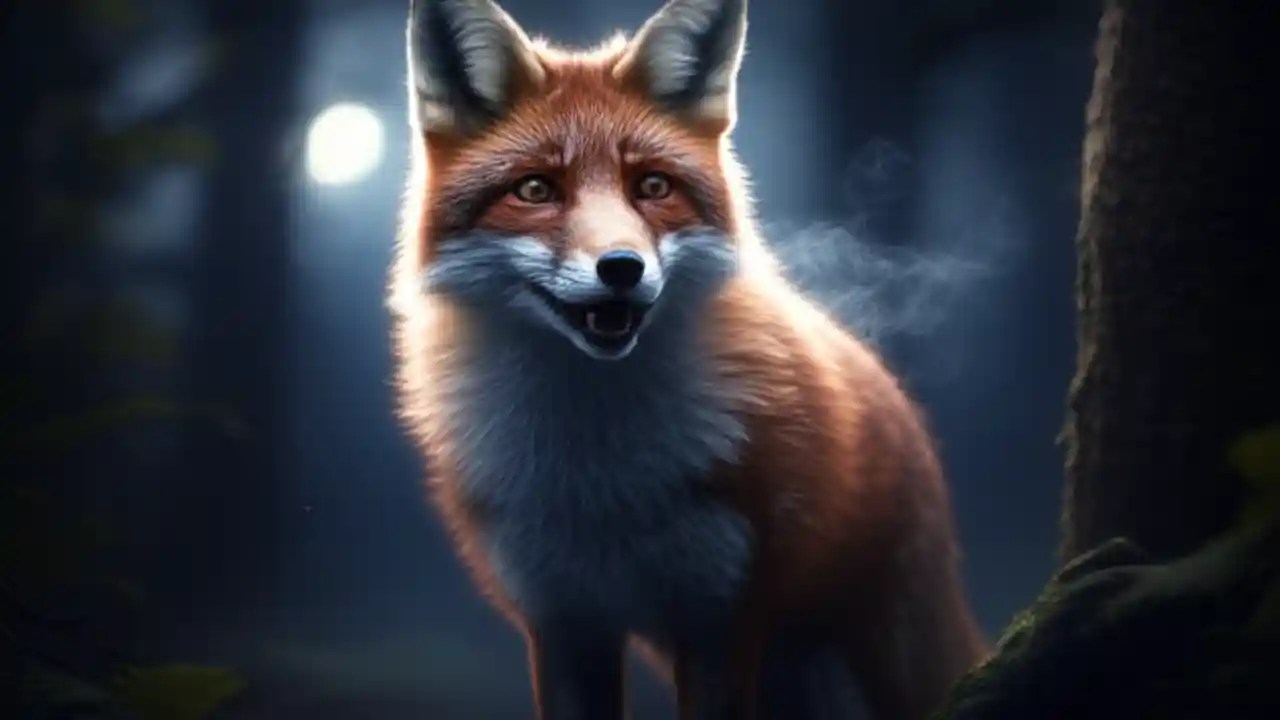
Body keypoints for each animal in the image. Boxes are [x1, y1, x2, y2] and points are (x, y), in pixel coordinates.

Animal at [389, 0, 987, 718]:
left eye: (652, 185)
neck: (598, 476)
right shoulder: (564, 620)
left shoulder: (722, 615)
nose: (622, 267)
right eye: (535, 190)